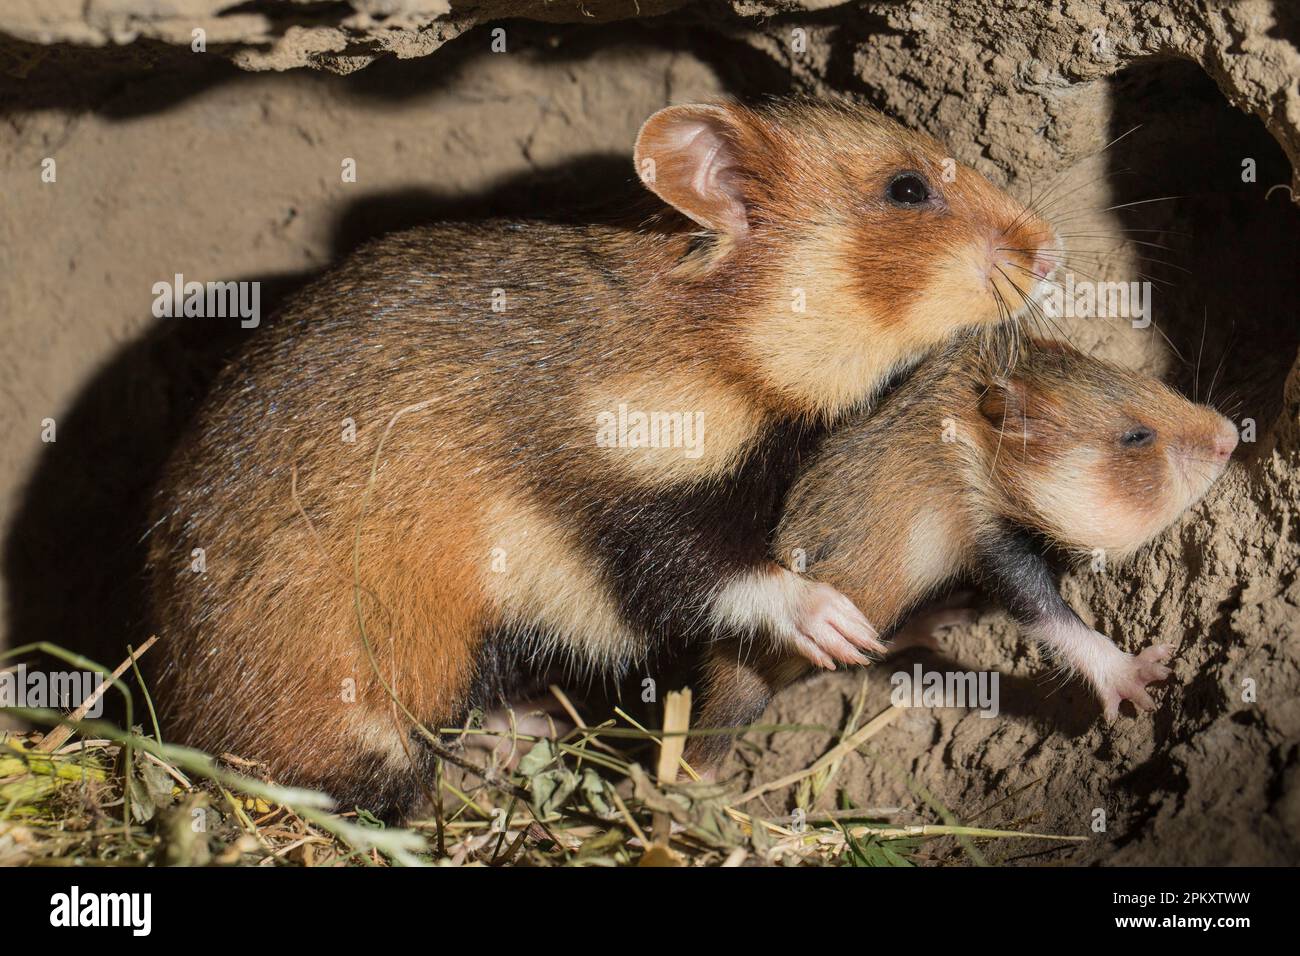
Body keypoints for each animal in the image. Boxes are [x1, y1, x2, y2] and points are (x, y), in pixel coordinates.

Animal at [147, 97, 1057, 816]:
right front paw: (840, 626)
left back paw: (529, 724)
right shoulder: (631, 503)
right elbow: (725, 579)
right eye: (906, 189)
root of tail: (175, 712)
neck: (716, 346)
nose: (1050, 250)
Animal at [687, 334, 1238, 767]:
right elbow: (1056, 620)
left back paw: (940, 621)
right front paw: (1138, 675)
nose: (1233, 436)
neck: (976, 437)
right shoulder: (992, 542)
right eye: (1135, 436)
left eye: (1156, 386)